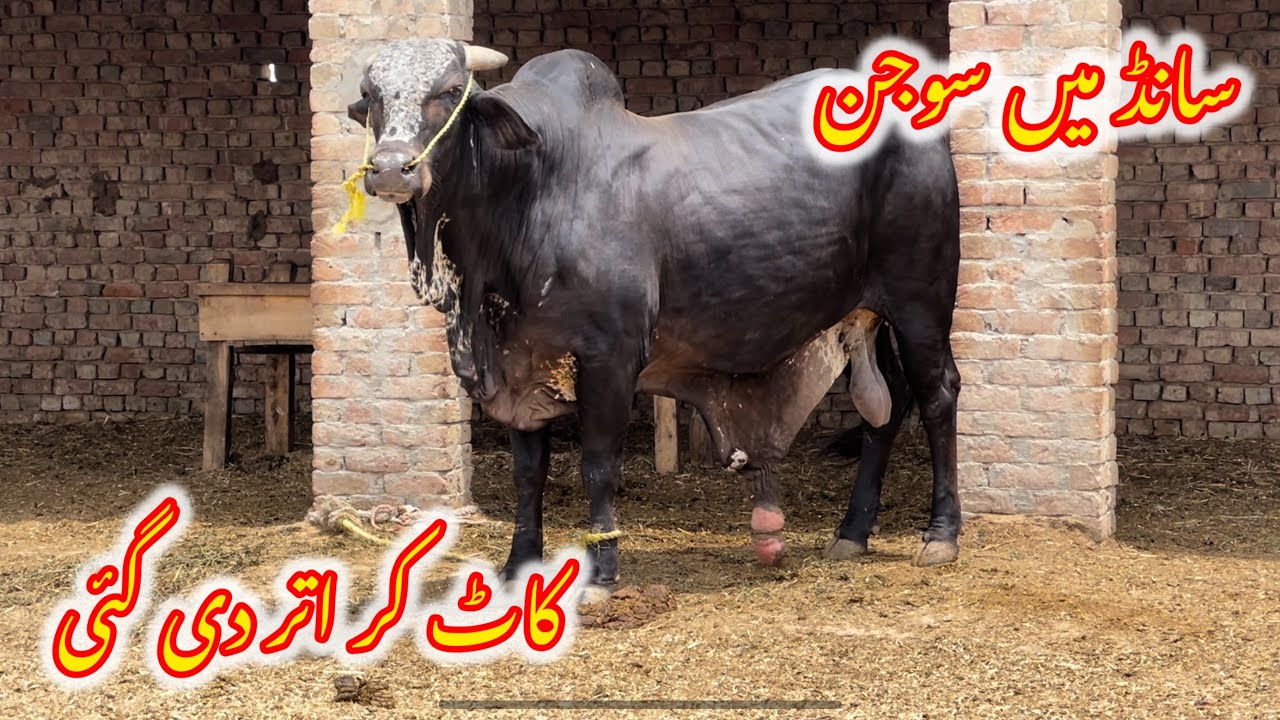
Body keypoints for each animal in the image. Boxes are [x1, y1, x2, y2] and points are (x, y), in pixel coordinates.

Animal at [343, 39, 962, 594]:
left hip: (922, 299)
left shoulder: (610, 357)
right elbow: (528, 472)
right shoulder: (520, 363)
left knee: (937, 393)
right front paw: (520, 564)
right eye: (370, 95)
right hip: (869, 311)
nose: (391, 170)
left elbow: (598, 466)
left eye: (449, 91)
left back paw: (941, 534)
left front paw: (603, 571)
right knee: (889, 404)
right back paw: (853, 532)